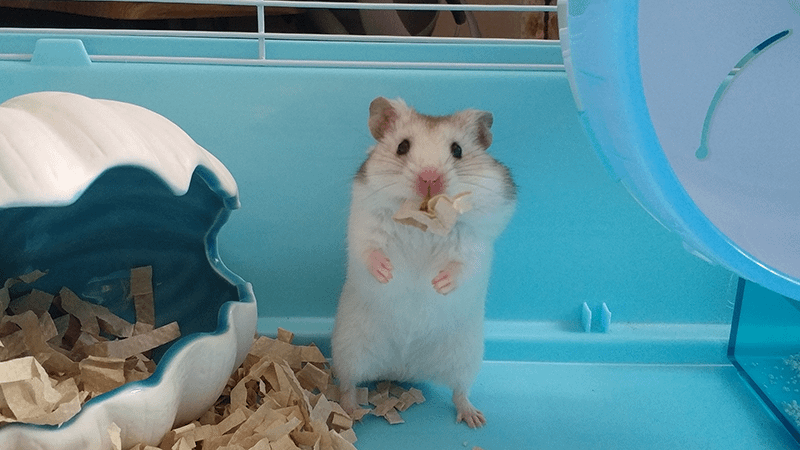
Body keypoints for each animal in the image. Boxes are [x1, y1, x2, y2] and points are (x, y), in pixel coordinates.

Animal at [331, 97, 517, 428]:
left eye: (457, 150)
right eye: (402, 147)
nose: (430, 178)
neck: (423, 221)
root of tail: (404, 367)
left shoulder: (475, 240)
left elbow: (463, 265)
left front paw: (438, 284)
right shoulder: (365, 224)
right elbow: (369, 250)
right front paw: (387, 273)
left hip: (466, 356)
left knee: (460, 391)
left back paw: (475, 418)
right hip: (349, 349)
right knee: (349, 384)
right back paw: (351, 413)